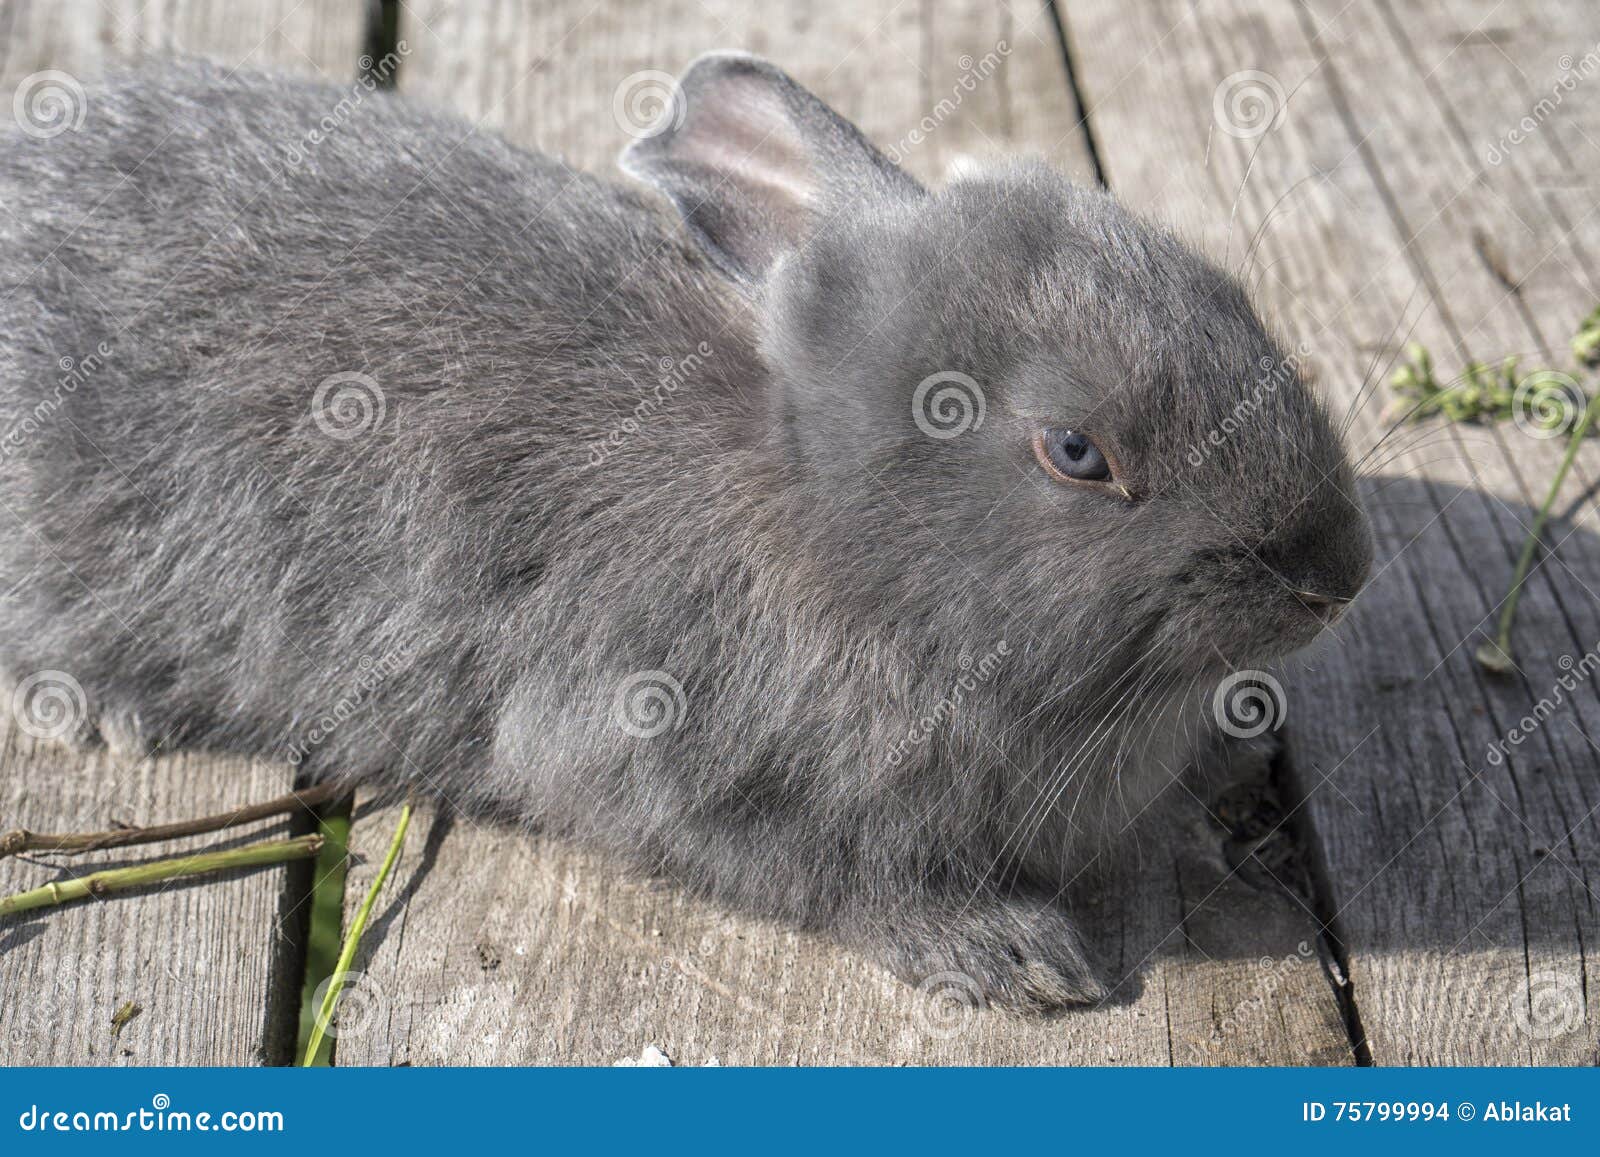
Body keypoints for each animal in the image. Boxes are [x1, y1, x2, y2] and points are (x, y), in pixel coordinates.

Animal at [0, 52, 1372, 1010]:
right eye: (1076, 453)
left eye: (1232, 295)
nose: (1338, 574)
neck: (832, 522)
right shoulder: (657, 747)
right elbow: (833, 874)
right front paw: (1008, 955)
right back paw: (99, 707)